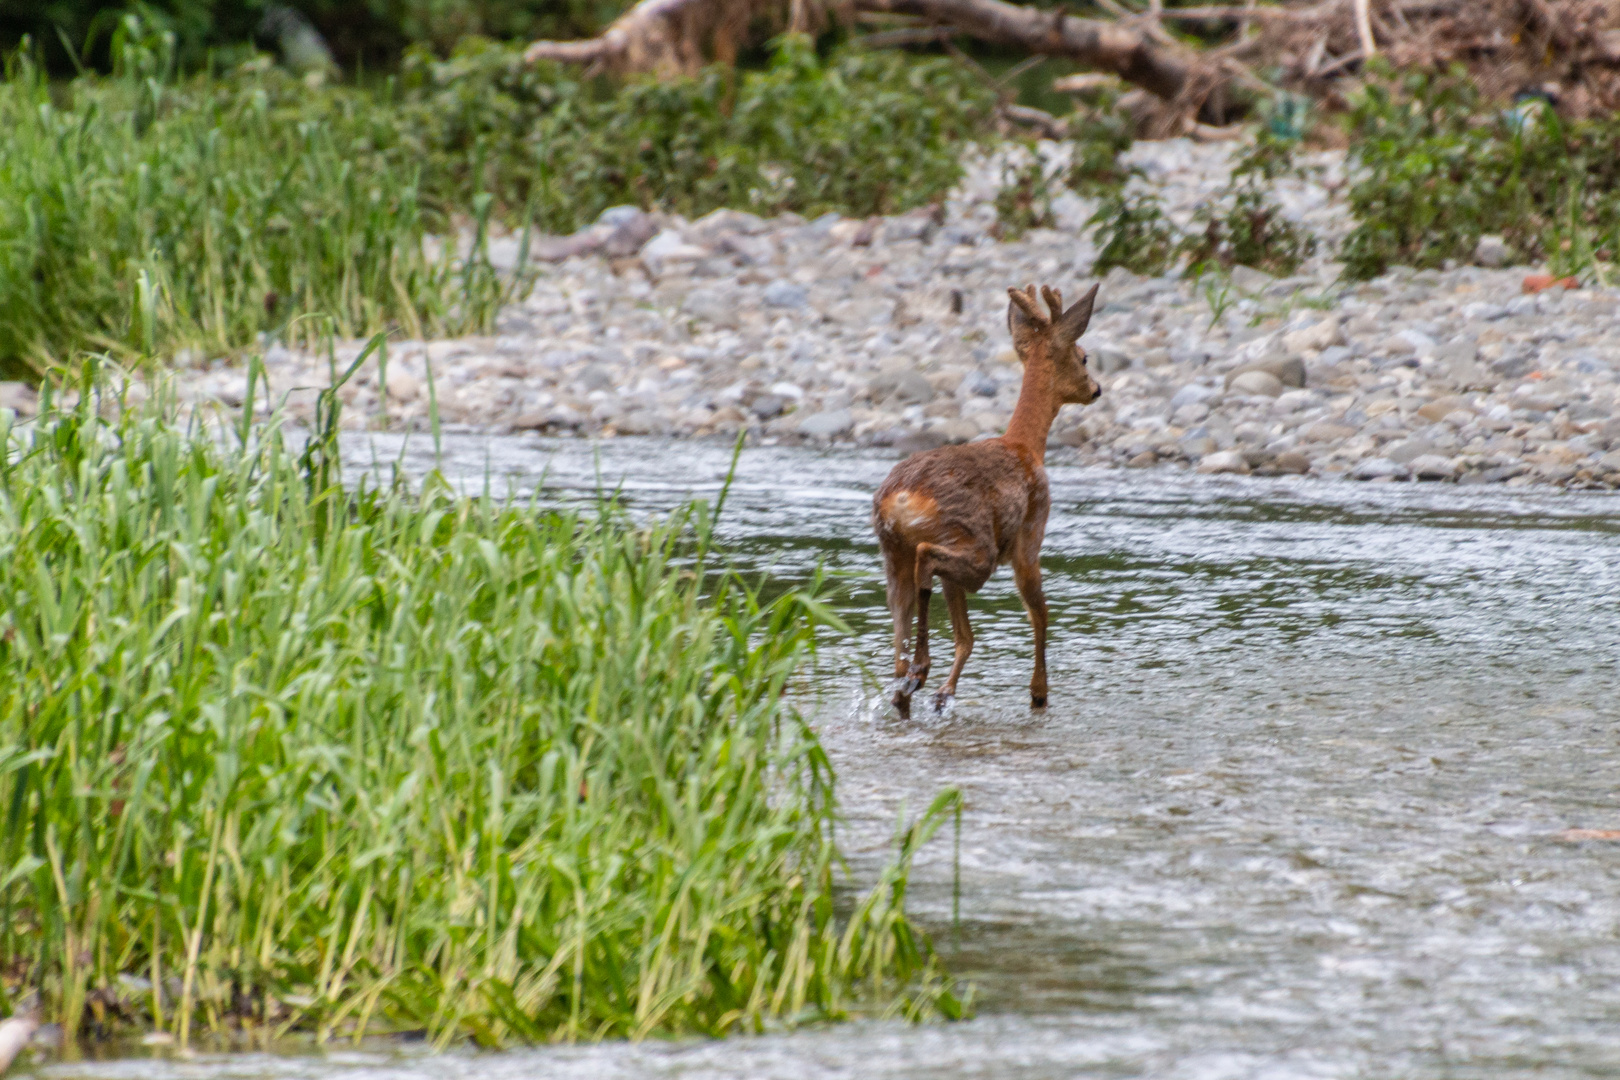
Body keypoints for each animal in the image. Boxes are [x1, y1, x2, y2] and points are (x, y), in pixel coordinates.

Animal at [871, 282, 1101, 719]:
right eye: (1083, 356)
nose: (1096, 388)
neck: (1026, 445)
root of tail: (902, 497)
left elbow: (966, 636)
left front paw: (945, 694)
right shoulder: (1031, 534)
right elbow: (1039, 614)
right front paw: (1039, 693)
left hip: (892, 552)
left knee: (902, 634)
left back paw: (907, 685)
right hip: (976, 546)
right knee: (929, 559)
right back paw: (922, 670)